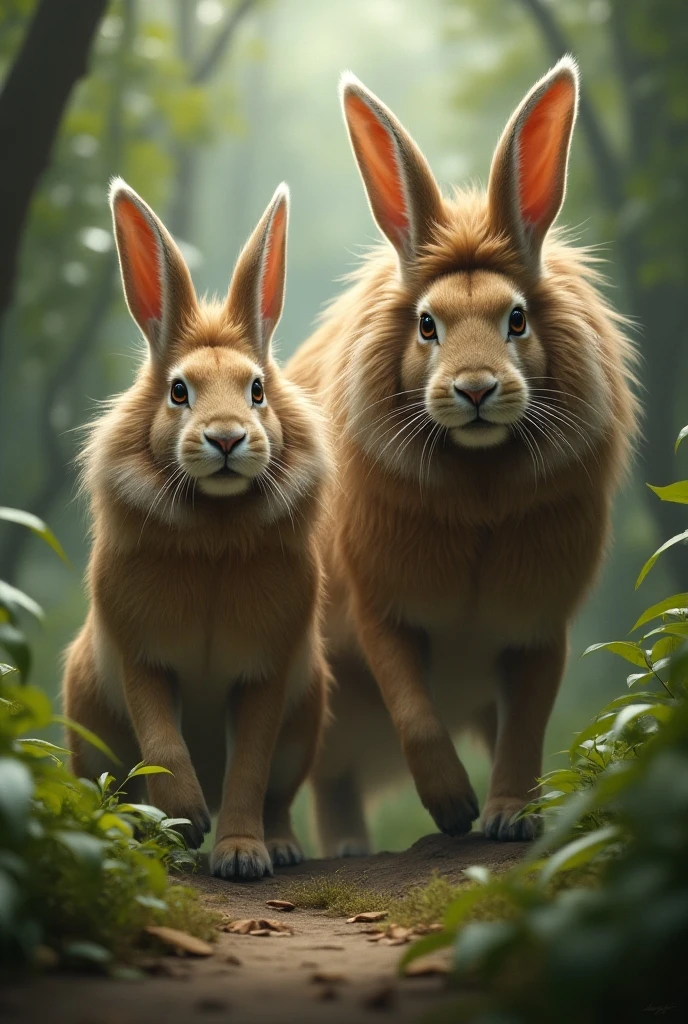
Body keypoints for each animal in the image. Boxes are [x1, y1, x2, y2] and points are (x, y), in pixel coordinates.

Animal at [62, 179, 331, 879]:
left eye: (257, 389)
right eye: (179, 391)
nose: (227, 438)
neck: (215, 529)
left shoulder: (267, 675)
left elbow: (249, 769)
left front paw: (239, 855)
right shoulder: (141, 659)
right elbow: (163, 744)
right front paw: (187, 820)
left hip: (306, 721)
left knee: (277, 797)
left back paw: (281, 848)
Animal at [287, 57, 639, 855]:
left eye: (517, 319)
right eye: (427, 326)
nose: (475, 389)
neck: (479, 483)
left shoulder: (539, 628)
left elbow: (528, 730)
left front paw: (511, 817)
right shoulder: (380, 610)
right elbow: (413, 708)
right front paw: (453, 809)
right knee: (326, 780)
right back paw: (344, 849)